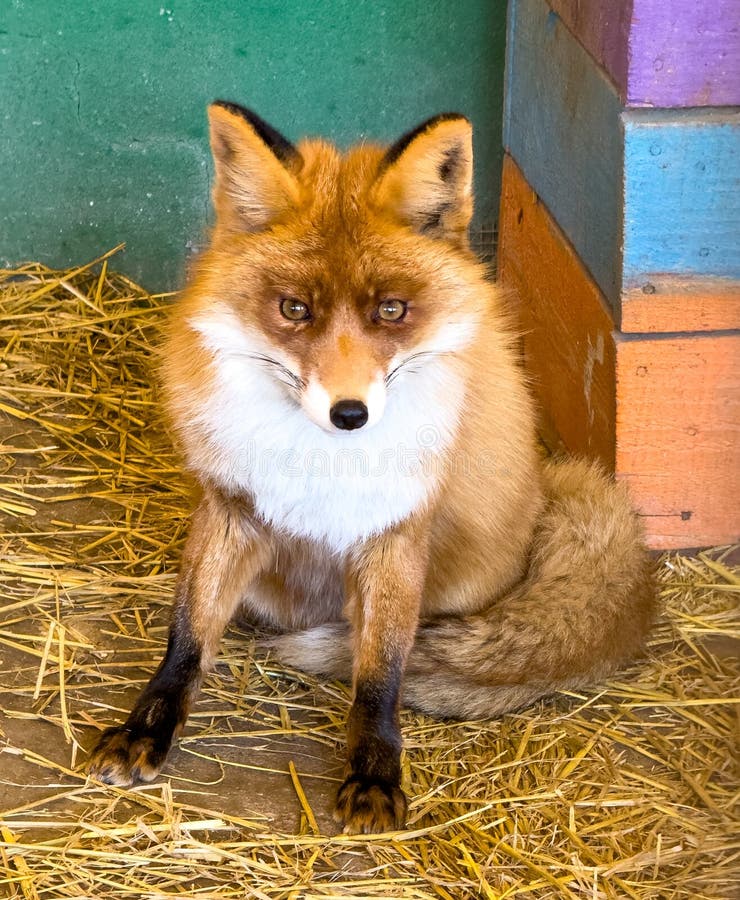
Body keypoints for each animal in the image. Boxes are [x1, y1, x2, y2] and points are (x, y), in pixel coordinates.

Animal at [88, 100, 656, 833]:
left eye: (391, 310)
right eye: (293, 309)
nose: (349, 413)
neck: (320, 464)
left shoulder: (396, 532)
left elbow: (381, 673)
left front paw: (373, 775)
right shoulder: (231, 509)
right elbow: (185, 639)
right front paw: (147, 727)